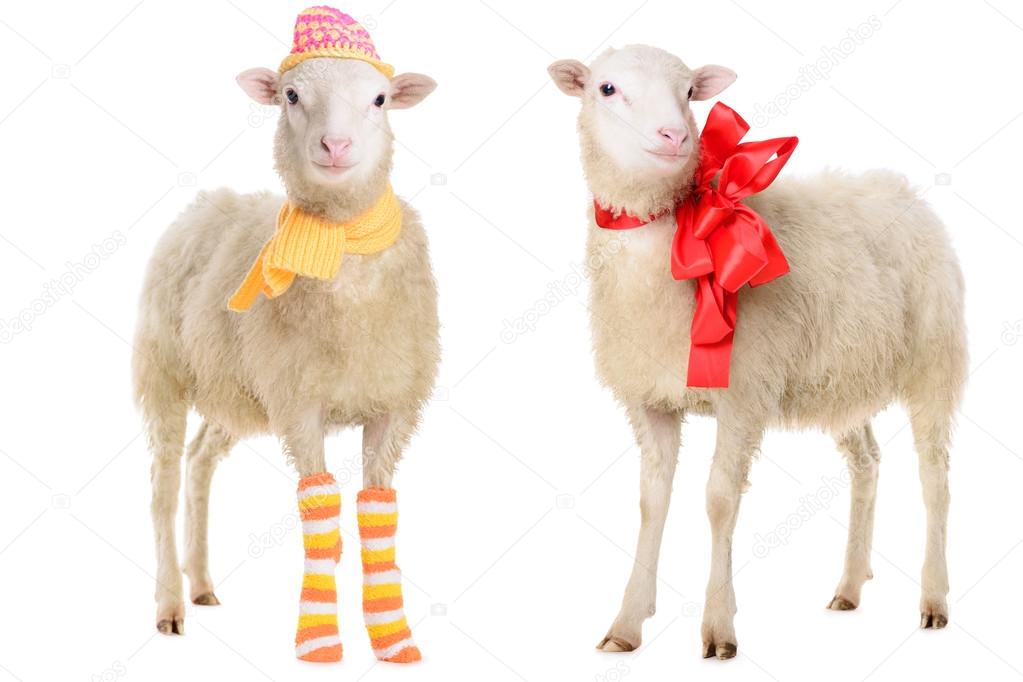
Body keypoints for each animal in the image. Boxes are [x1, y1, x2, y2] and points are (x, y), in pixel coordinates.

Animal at [131, 13, 438, 662]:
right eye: (292, 95)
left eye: (379, 99)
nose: (336, 146)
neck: (341, 245)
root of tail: (209, 200)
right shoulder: (301, 406)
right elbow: (319, 513)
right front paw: (319, 642)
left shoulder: (394, 407)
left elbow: (377, 512)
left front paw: (393, 641)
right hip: (165, 370)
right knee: (163, 480)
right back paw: (170, 604)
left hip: (237, 390)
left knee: (200, 460)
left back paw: (201, 584)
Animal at [548, 45, 966, 660]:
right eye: (606, 88)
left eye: (689, 92)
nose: (675, 135)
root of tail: (901, 189)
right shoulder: (651, 400)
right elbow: (652, 503)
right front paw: (627, 623)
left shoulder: (743, 394)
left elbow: (719, 500)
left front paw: (719, 628)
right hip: (843, 378)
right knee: (867, 462)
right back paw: (849, 586)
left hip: (934, 360)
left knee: (935, 476)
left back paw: (934, 599)